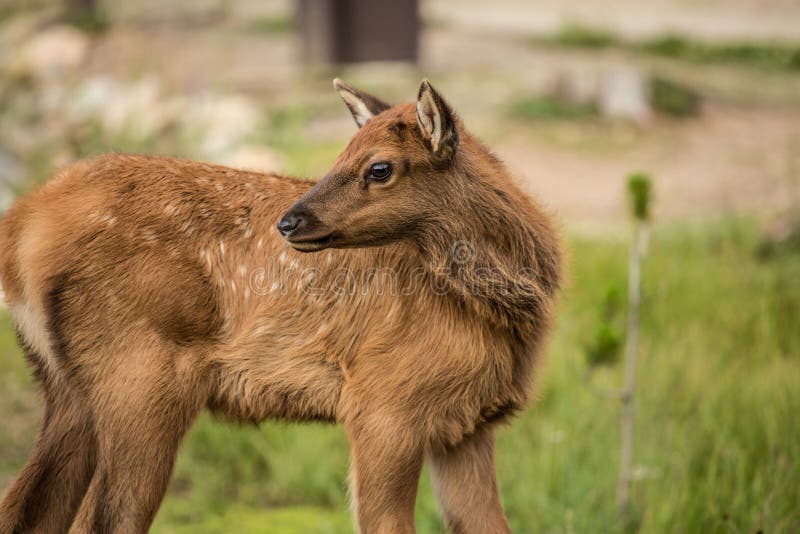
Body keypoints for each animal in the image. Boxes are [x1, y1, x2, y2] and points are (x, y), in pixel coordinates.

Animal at [0, 79, 562, 534]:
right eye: (339, 156)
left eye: (379, 167)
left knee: (28, 509)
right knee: (102, 518)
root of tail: (22, 227)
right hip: (139, 380)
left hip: (68, 390)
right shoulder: (383, 404)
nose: (289, 222)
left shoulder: (468, 426)